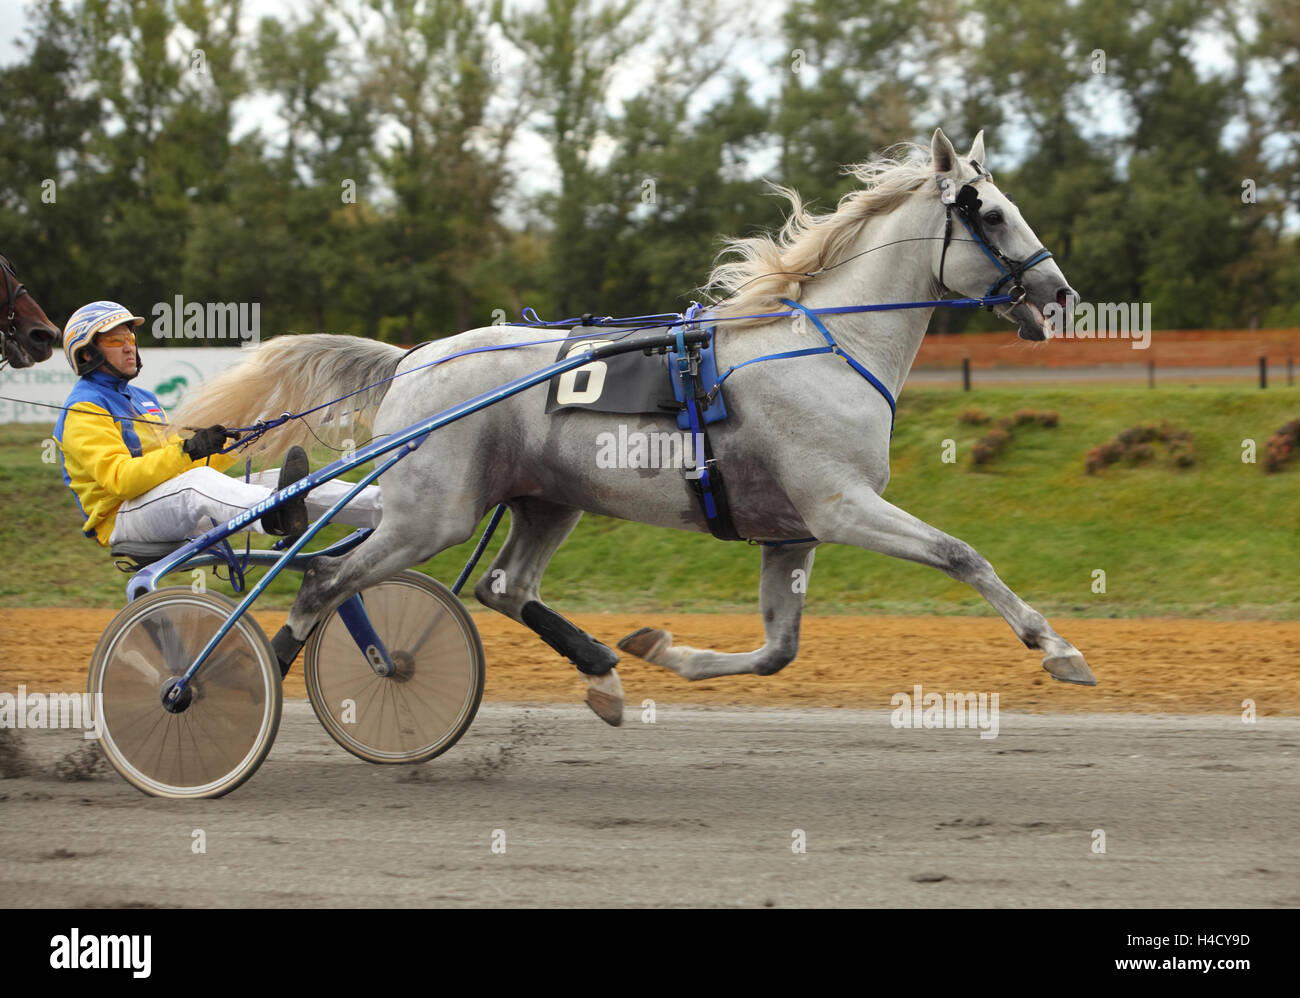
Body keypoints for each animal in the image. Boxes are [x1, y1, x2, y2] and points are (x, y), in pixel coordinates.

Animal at [175, 128, 1097, 725]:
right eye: (992, 213)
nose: (1061, 292)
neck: (826, 347)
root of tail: (414, 359)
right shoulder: (840, 507)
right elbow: (962, 554)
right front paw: (1056, 648)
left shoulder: (791, 533)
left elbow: (777, 650)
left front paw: (665, 651)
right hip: (429, 513)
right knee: (324, 582)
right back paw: (225, 682)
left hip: (542, 502)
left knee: (500, 587)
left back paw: (603, 674)